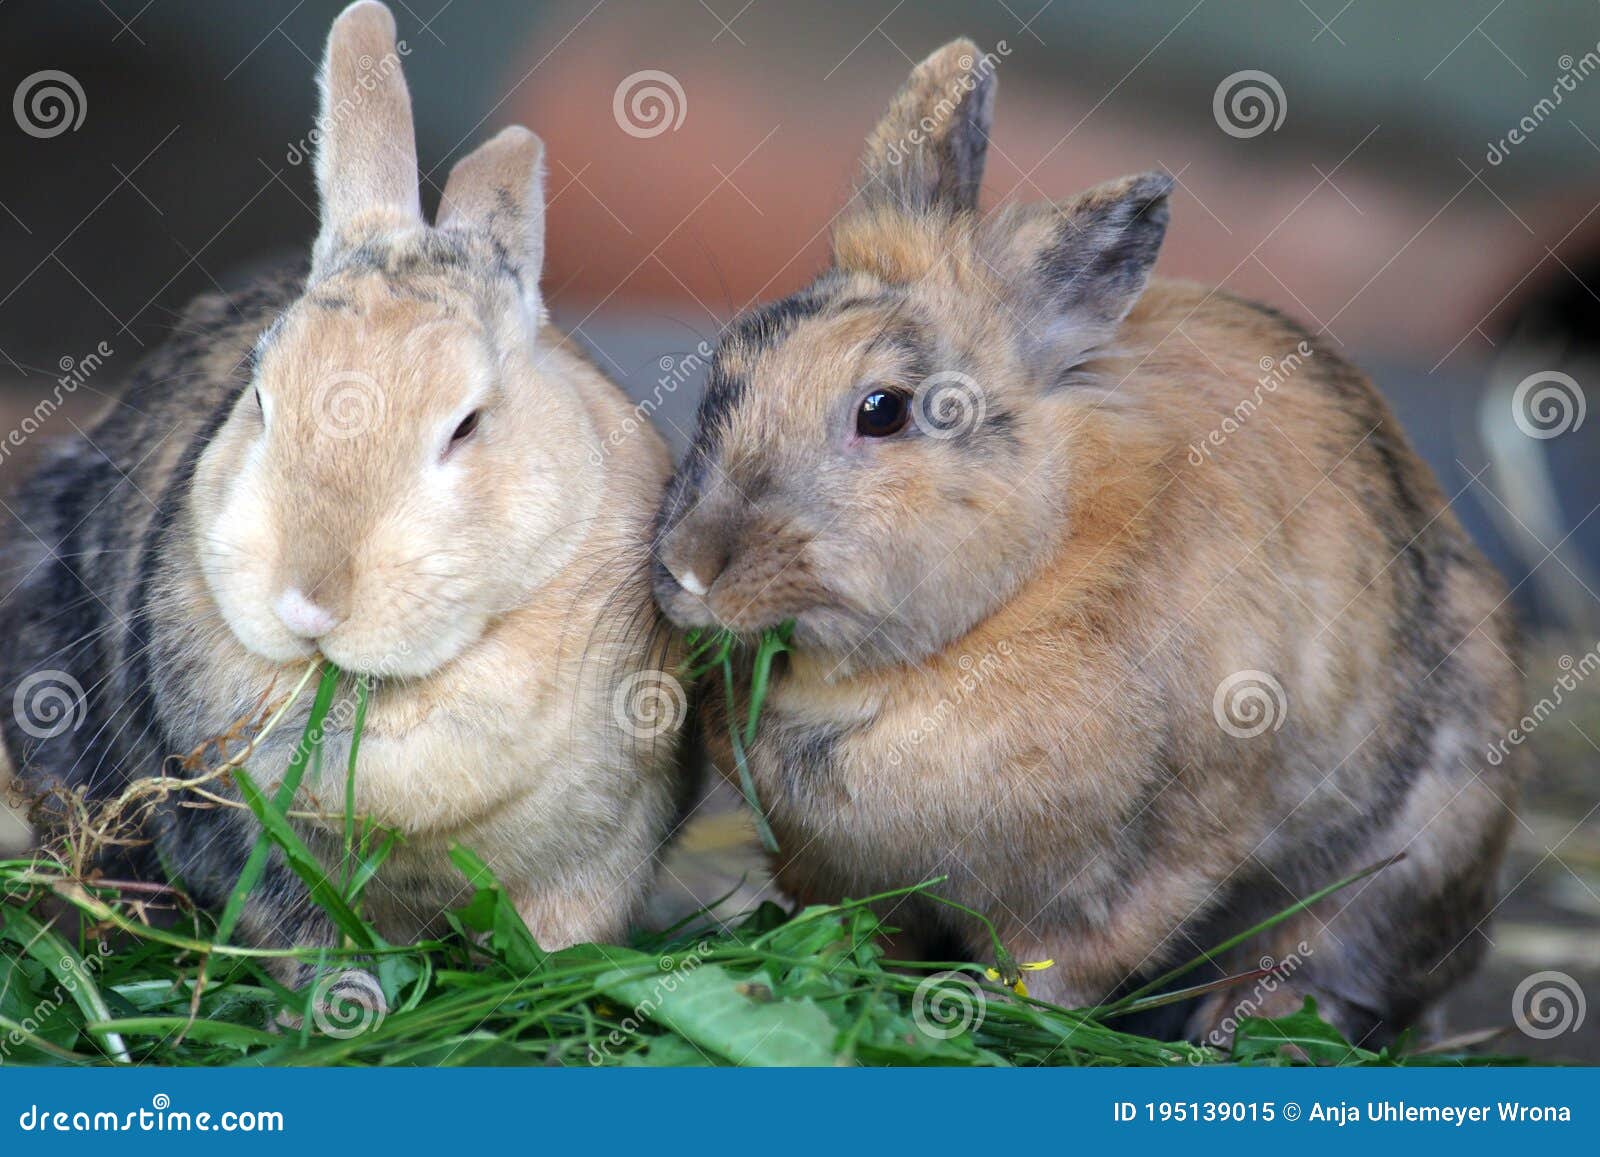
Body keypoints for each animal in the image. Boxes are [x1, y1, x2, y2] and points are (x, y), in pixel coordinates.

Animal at [0, 1, 687, 966]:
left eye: (466, 425)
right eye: (260, 398)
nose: (310, 601)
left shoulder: (600, 857)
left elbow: (564, 937)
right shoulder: (257, 854)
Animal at [650, 40, 1525, 1045]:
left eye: (883, 411)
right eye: (729, 364)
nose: (689, 567)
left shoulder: (1148, 861)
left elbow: (1065, 962)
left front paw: (996, 1013)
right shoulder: (846, 874)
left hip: (1412, 849)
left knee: (1340, 959)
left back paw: (1249, 1020)